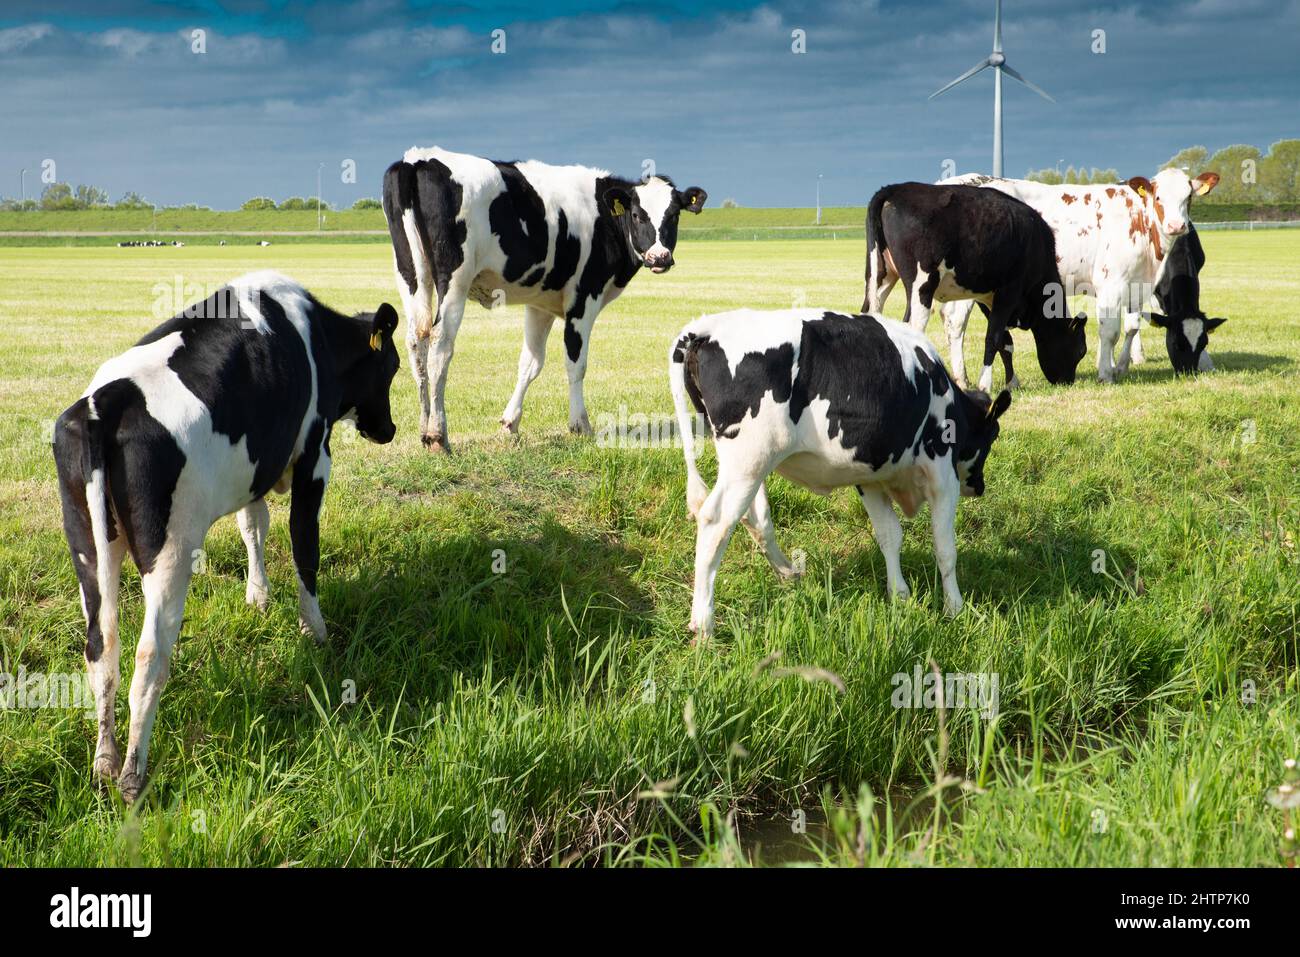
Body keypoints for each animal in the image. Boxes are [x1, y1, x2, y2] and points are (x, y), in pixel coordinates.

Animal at [52, 271, 401, 803]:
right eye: (394, 367)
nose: (389, 429)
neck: (317, 334)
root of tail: (102, 404)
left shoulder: (257, 466)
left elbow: (253, 525)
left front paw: (258, 598)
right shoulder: (314, 454)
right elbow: (304, 543)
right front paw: (315, 632)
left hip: (88, 544)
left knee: (101, 647)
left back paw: (105, 763)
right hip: (172, 551)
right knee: (148, 657)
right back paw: (132, 776)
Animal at [383, 146, 707, 453]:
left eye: (674, 215)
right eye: (638, 215)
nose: (659, 257)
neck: (604, 218)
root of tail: (417, 159)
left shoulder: (540, 304)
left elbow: (530, 364)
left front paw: (510, 424)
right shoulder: (584, 298)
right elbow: (576, 362)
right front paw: (580, 425)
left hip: (410, 273)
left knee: (417, 341)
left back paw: (424, 430)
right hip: (455, 280)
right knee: (440, 344)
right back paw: (439, 435)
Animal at [669, 308, 1011, 637]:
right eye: (993, 435)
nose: (979, 486)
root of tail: (709, 326)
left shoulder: (870, 478)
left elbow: (889, 536)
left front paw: (899, 595)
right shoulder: (942, 474)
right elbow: (944, 547)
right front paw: (955, 608)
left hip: (749, 464)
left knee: (758, 520)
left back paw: (788, 573)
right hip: (750, 459)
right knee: (716, 520)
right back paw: (703, 622)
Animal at [864, 182, 1087, 394]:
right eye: (1080, 351)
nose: (1068, 381)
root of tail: (894, 189)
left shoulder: (987, 297)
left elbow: (1005, 342)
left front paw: (1012, 382)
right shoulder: (1009, 292)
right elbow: (993, 338)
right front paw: (985, 384)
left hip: (881, 277)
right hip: (922, 286)